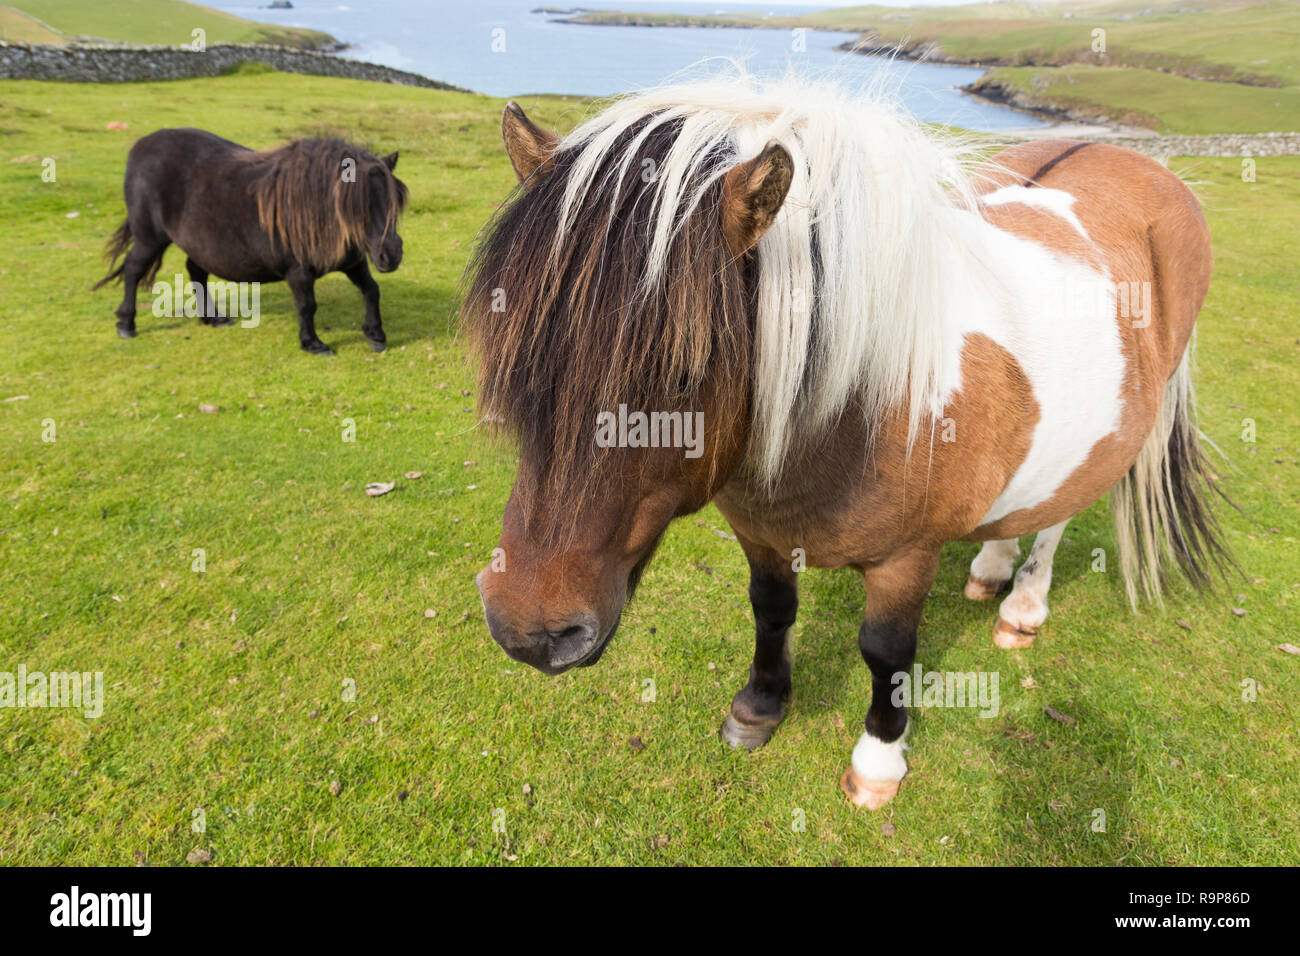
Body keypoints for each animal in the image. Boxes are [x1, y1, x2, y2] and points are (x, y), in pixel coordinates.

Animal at [95, 129, 407, 355]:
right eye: (358, 206)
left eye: (394, 202)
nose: (391, 255)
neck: (314, 208)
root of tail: (140, 147)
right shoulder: (299, 272)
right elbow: (307, 306)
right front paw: (312, 343)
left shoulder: (354, 262)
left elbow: (372, 290)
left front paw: (376, 335)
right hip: (150, 238)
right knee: (133, 270)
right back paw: (126, 323)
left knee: (196, 271)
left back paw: (213, 317)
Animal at [464, 75, 1234, 810]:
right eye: (516, 358)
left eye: (685, 374)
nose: (529, 632)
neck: (860, 404)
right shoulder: (761, 533)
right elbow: (771, 609)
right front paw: (759, 706)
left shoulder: (906, 558)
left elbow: (885, 652)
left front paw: (878, 763)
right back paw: (992, 566)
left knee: (1060, 517)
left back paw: (1023, 607)